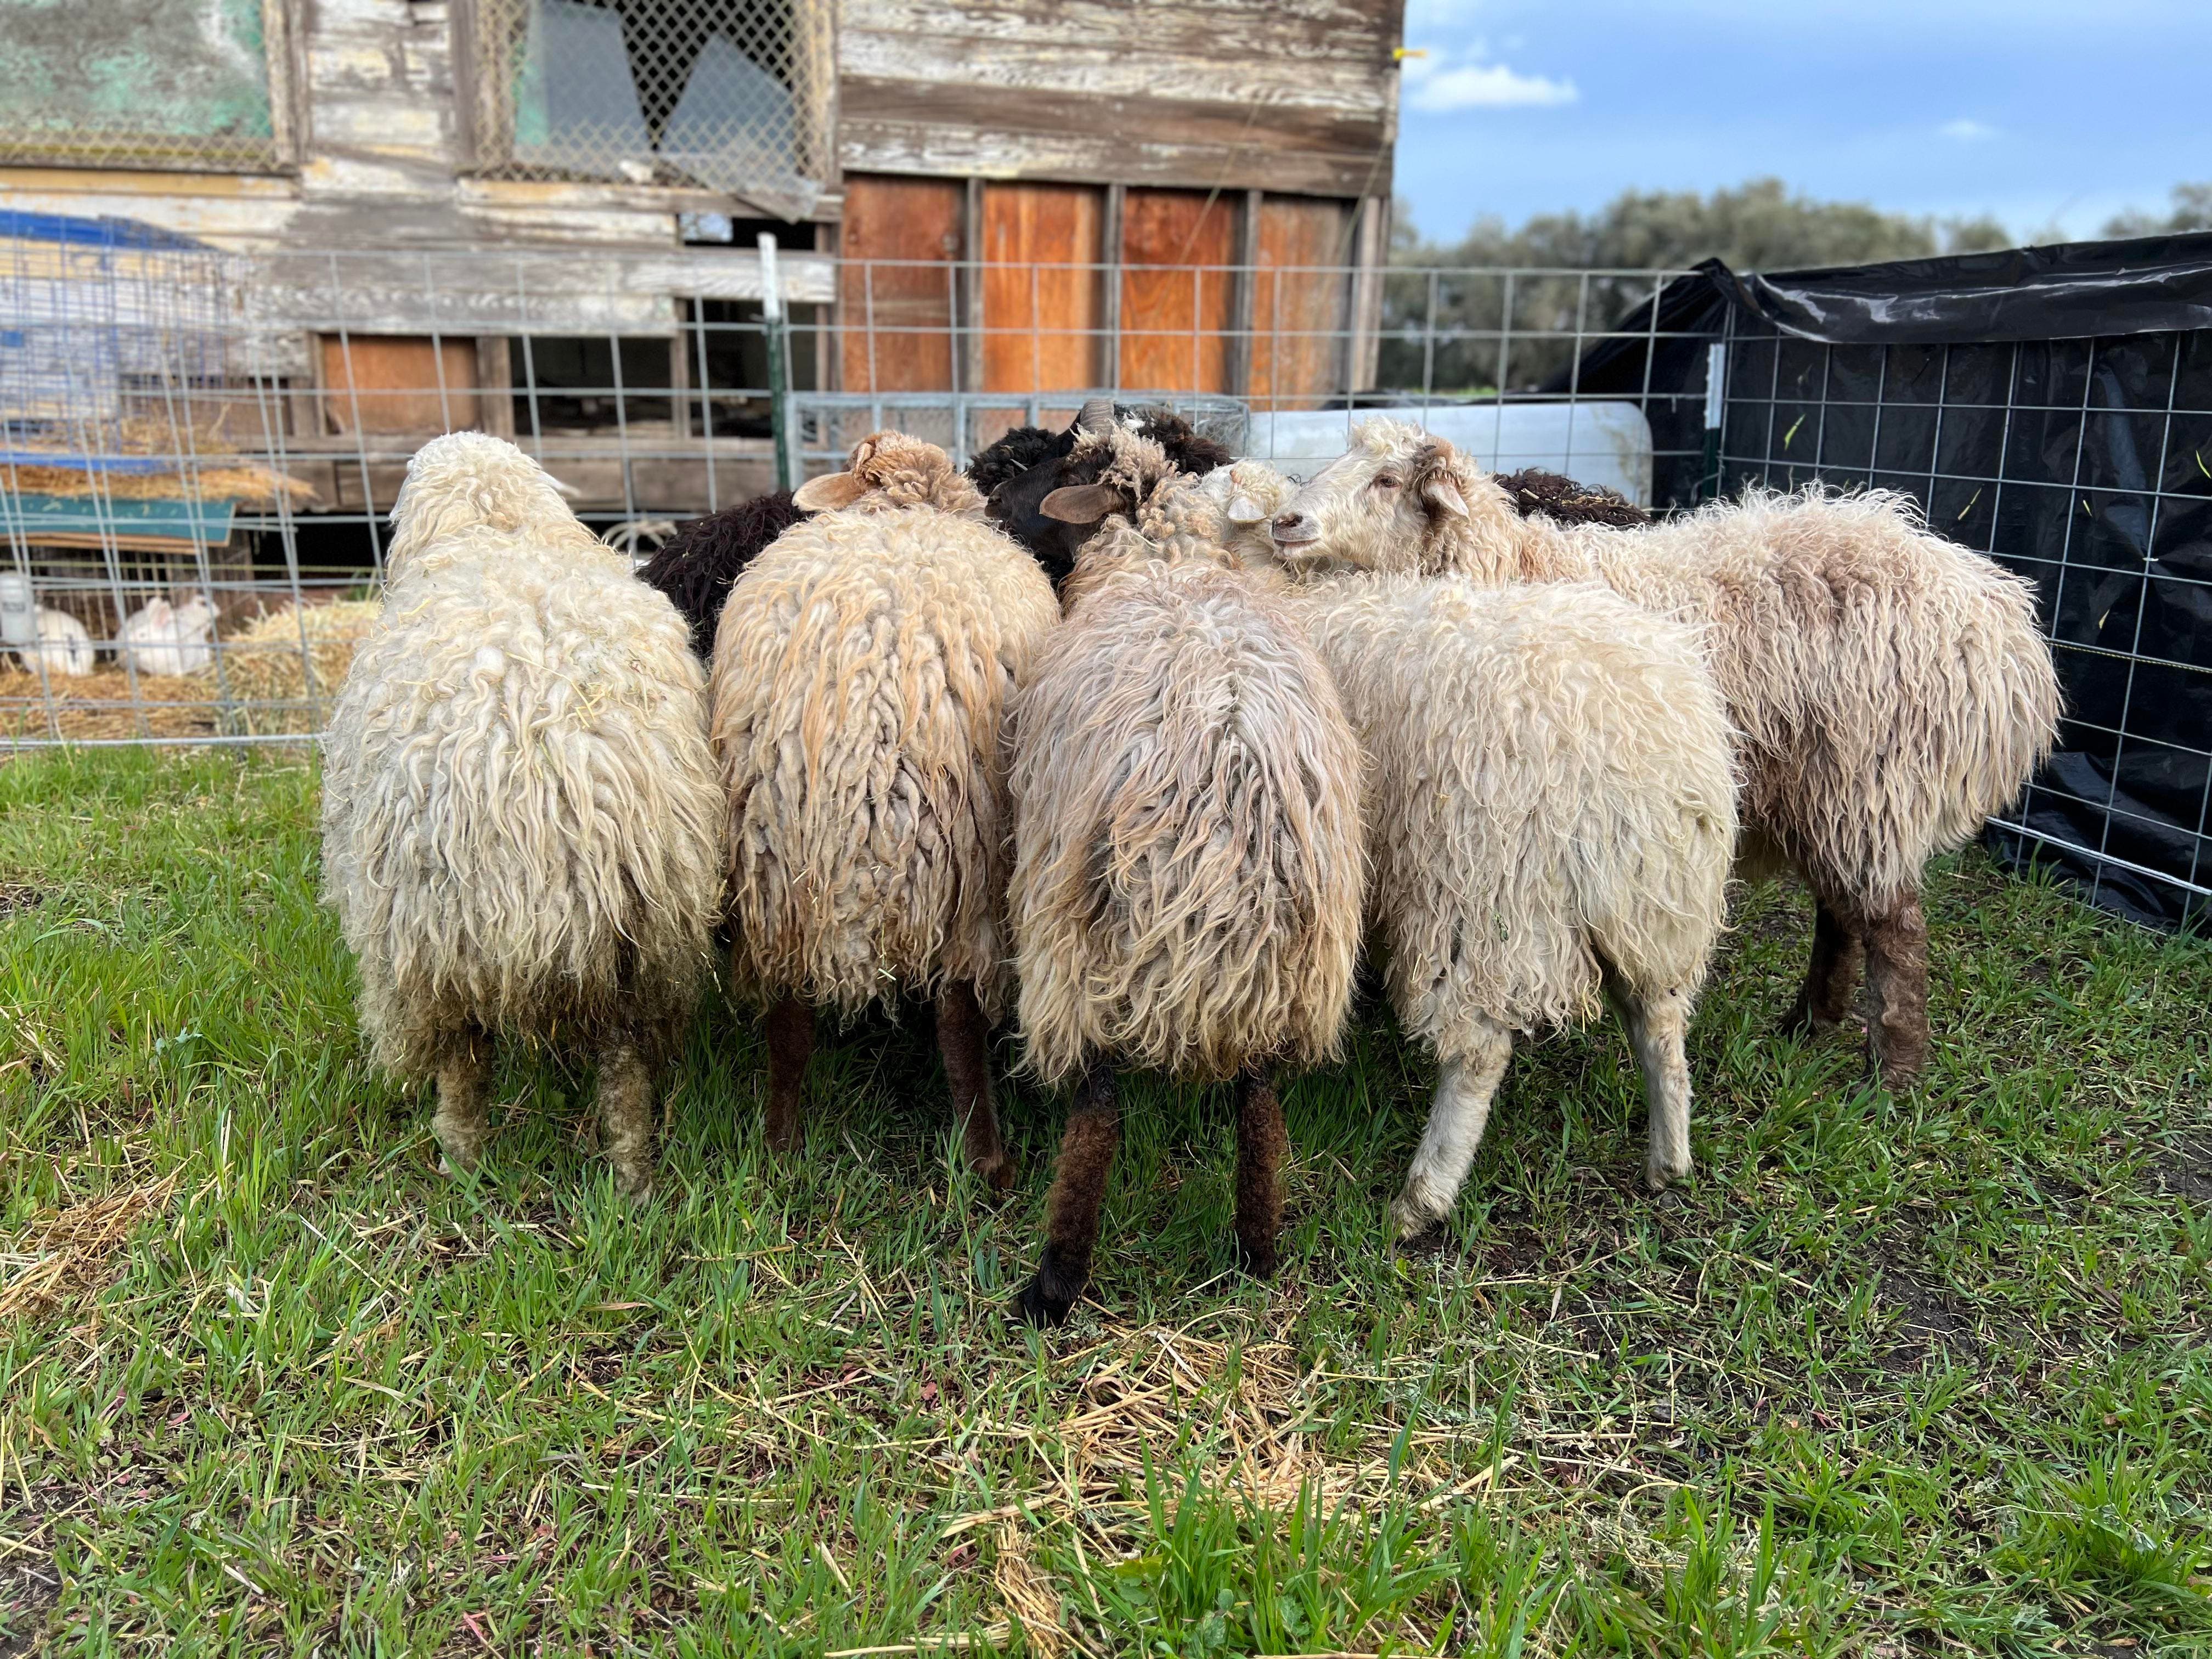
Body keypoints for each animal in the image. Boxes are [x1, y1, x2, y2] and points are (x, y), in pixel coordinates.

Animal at [322, 431, 723, 1198]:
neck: (497, 528)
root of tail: (558, 781)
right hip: (643, 944)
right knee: (626, 1071)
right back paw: (632, 1178)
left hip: (432, 940)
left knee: (462, 1064)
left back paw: (461, 1162)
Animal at [708, 431, 1060, 1188]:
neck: (902, 504)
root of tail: (870, 699)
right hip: (968, 860)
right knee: (958, 1014)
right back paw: (988, 1161)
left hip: (780, 854)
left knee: (789, 1018)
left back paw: (779, 1145)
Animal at [1006, 427, 1364, 1324]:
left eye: (1056, 471)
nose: (987, 506)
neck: (1159, 562)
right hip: (1292, 968)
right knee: (1262, 1110)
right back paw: (1257, 1252)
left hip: (1078, 946)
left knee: (1098, 1113)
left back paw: (1053, 1285)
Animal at [1267, 419, 2061, 1085]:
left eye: (1387, 480)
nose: (1286, 522)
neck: (1514, 560)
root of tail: (1999, 618)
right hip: (1828, 793)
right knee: (1842, 911)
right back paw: (1807, 1025)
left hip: (1874, 781)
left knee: (1895, 928)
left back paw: (1889, 1077)